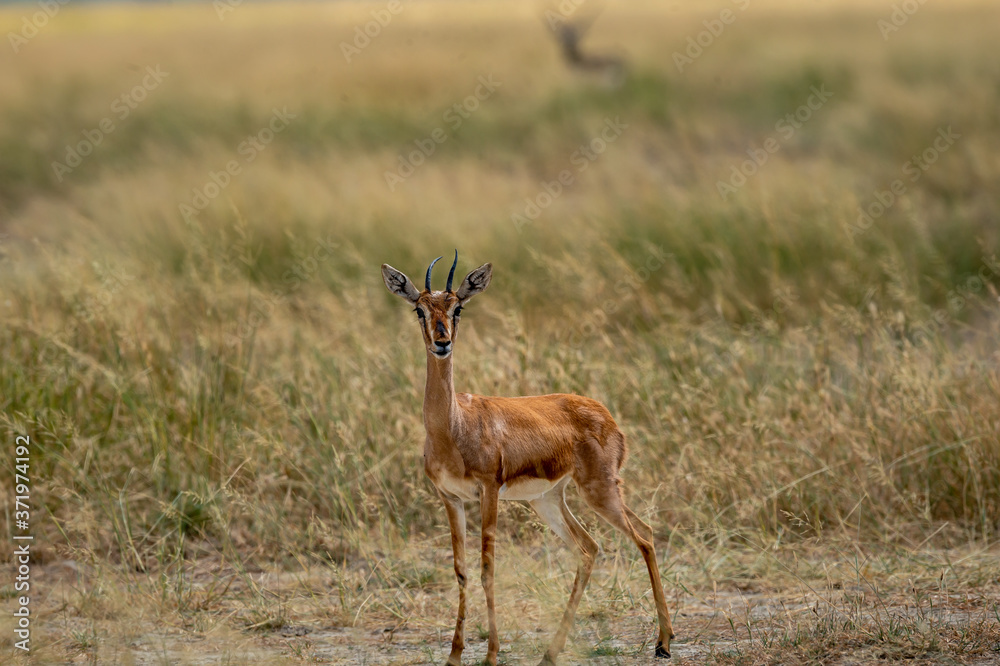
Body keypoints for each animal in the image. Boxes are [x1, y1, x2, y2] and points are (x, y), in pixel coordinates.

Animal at [381, 252, 674, 665]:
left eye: (458, 308)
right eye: (419, 309)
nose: (442, 342)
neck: (453, 426)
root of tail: (607, 416)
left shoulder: (488, 491)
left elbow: (487, 569)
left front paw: (490, 654)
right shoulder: (450, 498)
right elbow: (461, 570)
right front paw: (454, 655)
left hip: (598, 491)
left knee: (643, 537)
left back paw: (663, 643)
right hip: (549, 500)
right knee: (590, 547)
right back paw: (552, 651)